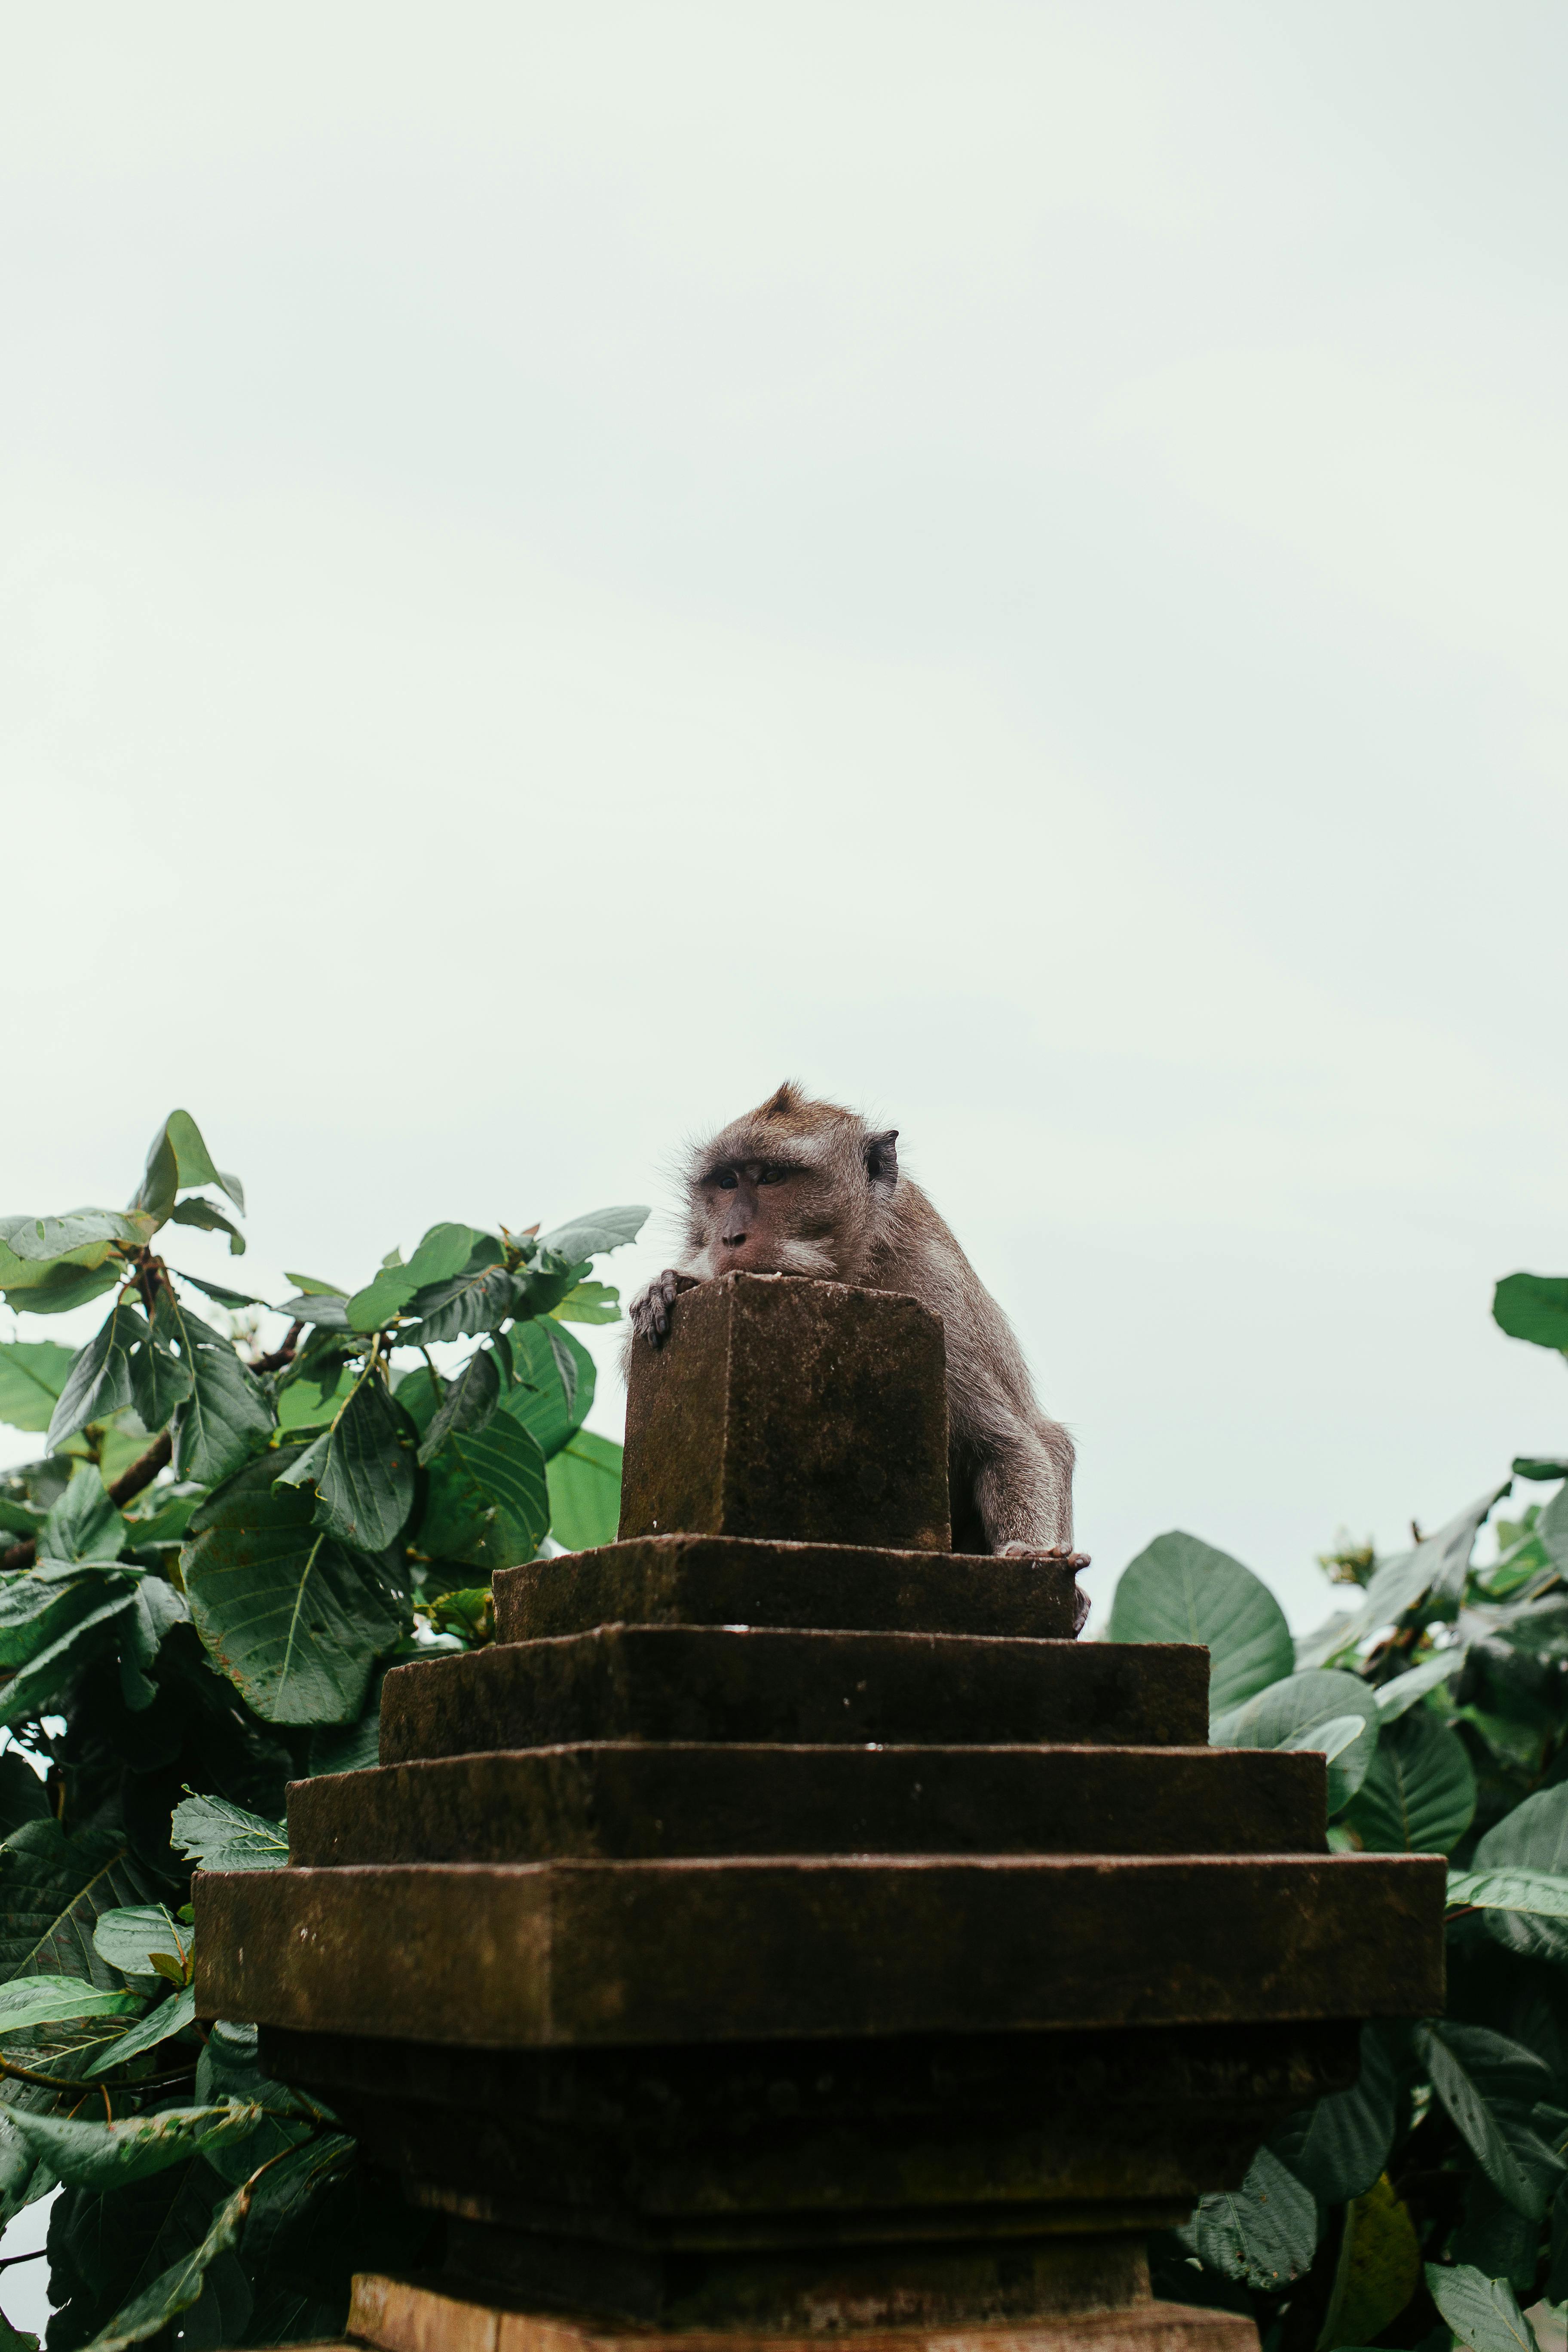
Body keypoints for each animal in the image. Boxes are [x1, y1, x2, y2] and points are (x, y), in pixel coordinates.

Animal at [628, 1082, 1088, 1630]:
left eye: (772, 1177)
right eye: (725, 1181)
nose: (730, 1237)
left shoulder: (937, 1297)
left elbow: (1009, 1443)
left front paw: (1028, 1554)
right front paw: (666, 1287)